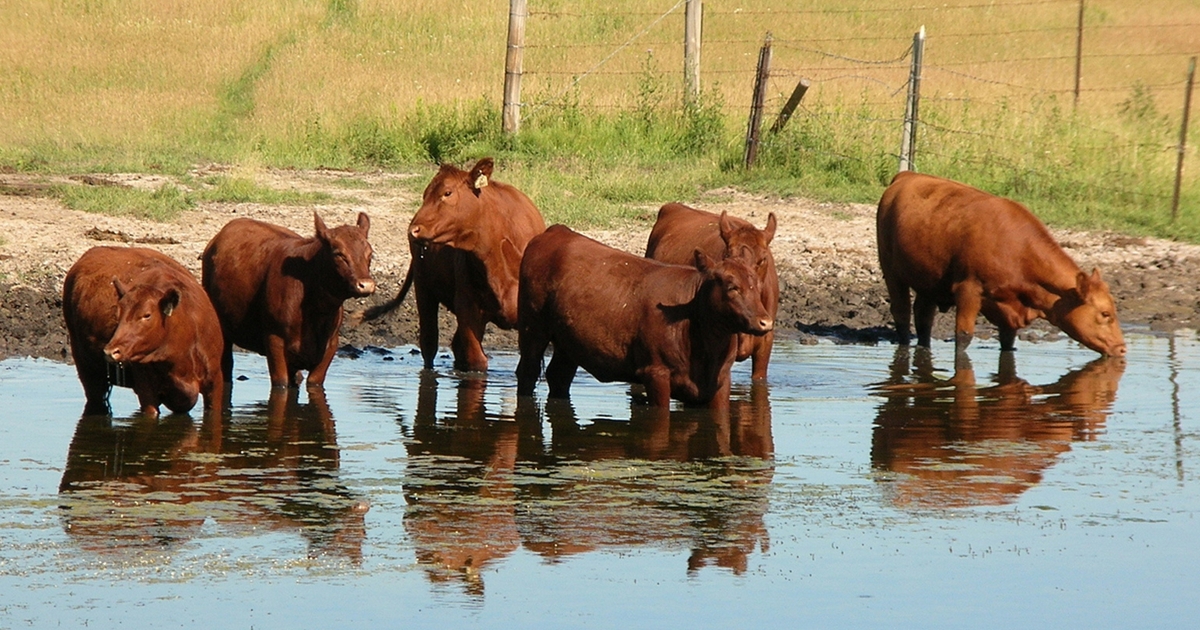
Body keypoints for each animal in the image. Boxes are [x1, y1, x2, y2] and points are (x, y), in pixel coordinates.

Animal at [62, 246, 225, 418]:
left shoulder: (214, 381)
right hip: (86, 368)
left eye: (147, 315)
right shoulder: (146, 387)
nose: (111, 351)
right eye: (119, 313)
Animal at [201, 212, 375, 388]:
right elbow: (281, 384)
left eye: (370, 254)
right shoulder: (275, 340)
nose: (366, 285)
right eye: (339, 254)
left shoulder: (331, 346)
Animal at [358, 158, 545, 372]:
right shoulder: (468, 310)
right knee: (429, 343)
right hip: (424, 288)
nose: (413, 230)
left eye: (447, 193)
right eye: (425, 195)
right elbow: (477, 361)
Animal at [516, 225, 774, 409]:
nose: (766, 321)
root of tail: (556, 231)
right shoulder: (655, 374)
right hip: (532, 329)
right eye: (732, 287)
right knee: (527, 372)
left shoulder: (719, 383)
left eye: (755, 285)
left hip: (569, 343)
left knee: (558, 376)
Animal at [876, 171, 1126, 356]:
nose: (1122, 349)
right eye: (1105, 314)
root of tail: (906, 175)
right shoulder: (969, 290)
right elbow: (963, 337)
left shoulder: (1010, 309)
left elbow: (1008, 343)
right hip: (891, 270)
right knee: (901, 312)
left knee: (923, 316)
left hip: (928, 281)